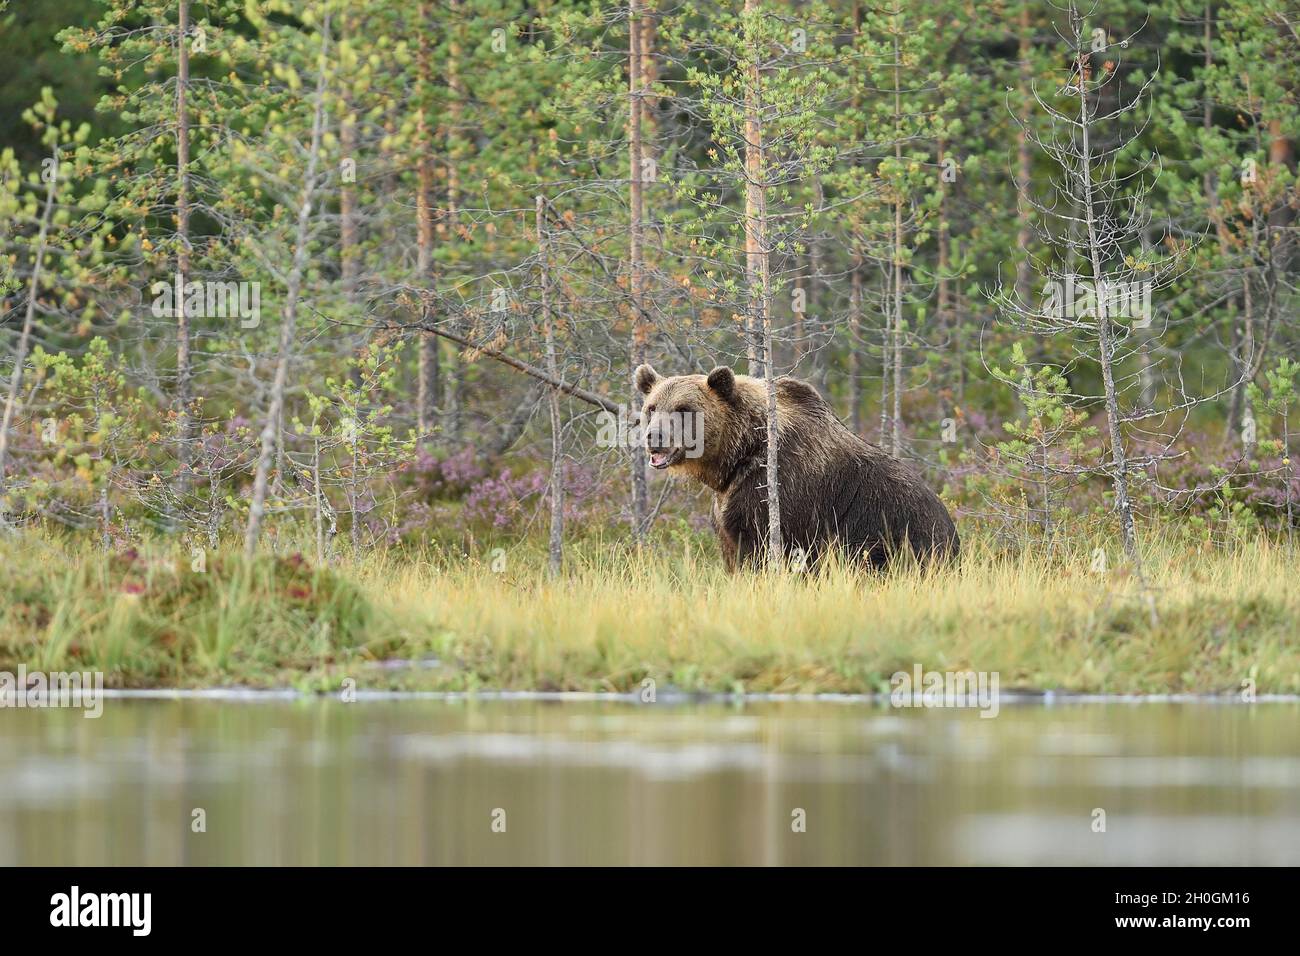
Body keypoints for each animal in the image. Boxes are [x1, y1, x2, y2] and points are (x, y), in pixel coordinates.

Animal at [635, 363, 959, 572]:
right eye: (652, 407)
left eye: (684, 409)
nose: (654, 436)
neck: (740, 454)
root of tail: (953, 533)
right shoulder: (727, 506)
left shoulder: (780, 494)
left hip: (896, 533)